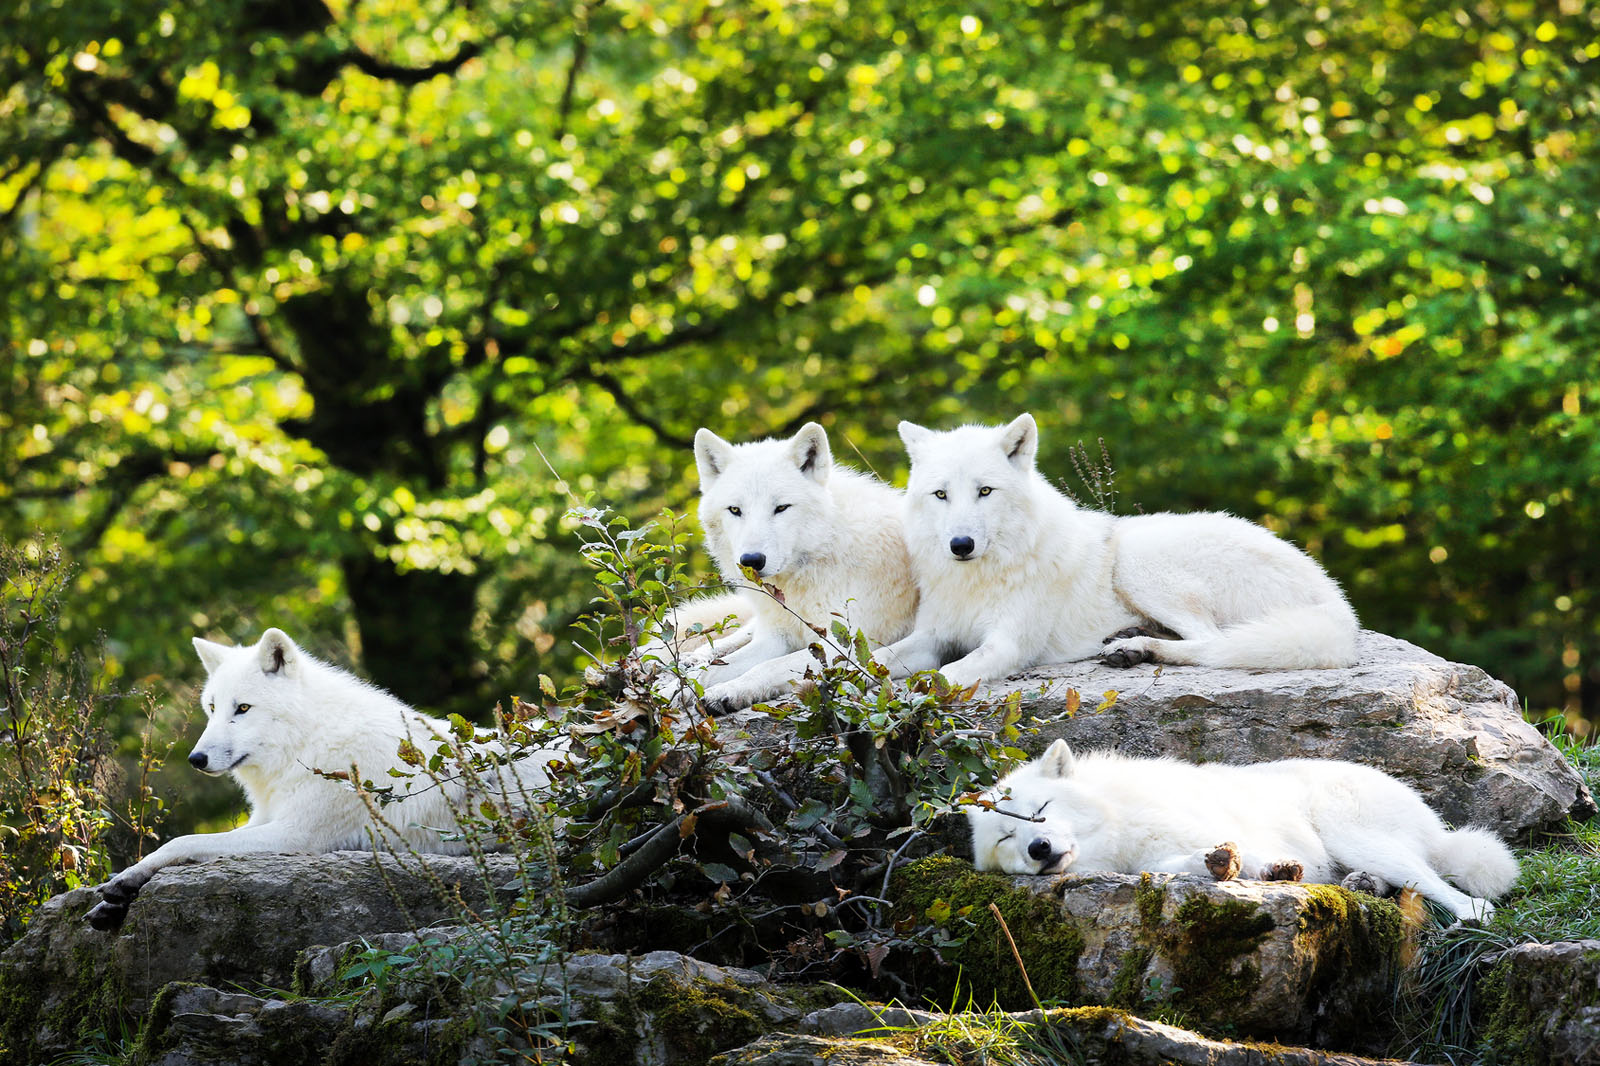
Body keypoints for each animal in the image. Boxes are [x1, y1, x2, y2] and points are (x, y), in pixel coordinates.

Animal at [87, 628, 562, 930]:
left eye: (243, 708)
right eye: (212, 707)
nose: (196, 758)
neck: (310, 742)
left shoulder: (293, 836)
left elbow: (183, 842)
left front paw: (125, 885)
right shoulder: (264, 820)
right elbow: (179, 847)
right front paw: (116, 893)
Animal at [681, 421, 919, 711]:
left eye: (781, 507)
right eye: (735, 510)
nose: (751, 561)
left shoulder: (842, 648)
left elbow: (765, 667)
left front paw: (727, 692)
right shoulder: (777, 636)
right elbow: (715, 670)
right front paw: (677, 689)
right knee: (740, 633)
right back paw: (696, 656)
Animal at [873, 413, 1358, 688]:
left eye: (985, 491)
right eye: (941, 495)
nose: (960, 545)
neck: (980, 577)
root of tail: (1334, 597)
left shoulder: (1009, 644)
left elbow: (947, 675)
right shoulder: (934, 635)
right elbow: (876, 660)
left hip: (1137, 560)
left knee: (1215, 644)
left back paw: (1140, 647)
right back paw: (1130, 643)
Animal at [968, 740, 1518, 921]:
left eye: (1040, 811)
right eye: (1004, 838)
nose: (1039, 848)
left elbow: (1250, 855)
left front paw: (1268, 869)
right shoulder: (1157, 860)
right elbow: (1192, 862)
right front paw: (1220, 865)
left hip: (1354, 835)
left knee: (1449, 890)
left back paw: (1473, 915)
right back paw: (1359, 884)